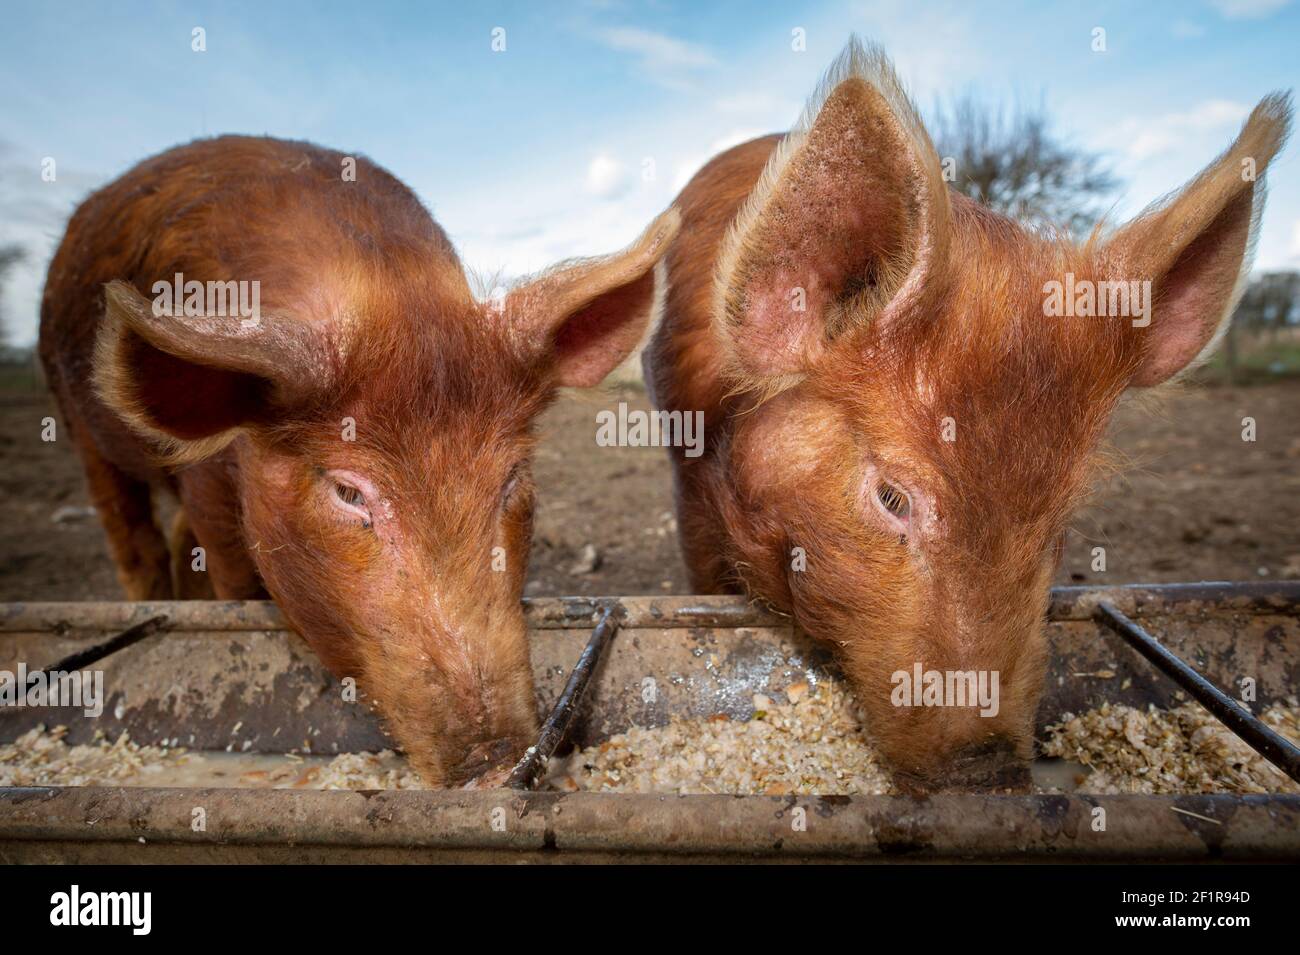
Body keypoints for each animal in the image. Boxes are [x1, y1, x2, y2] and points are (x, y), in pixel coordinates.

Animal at [40, 135, 678, 786]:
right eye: (348, 493)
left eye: (511, 479)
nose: (498, 765)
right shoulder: (209, 493)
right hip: (78, 422)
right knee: (132, 537)